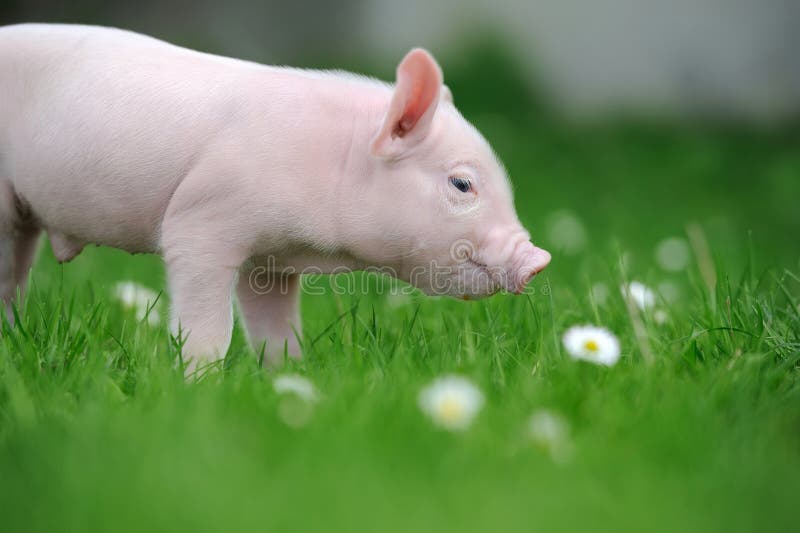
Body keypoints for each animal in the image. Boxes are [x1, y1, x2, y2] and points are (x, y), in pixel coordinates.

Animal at [0, 23, 551, 370]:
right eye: (462, 184)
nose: (539, 259)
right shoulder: (200, 220)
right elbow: (209, 329)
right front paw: (197, 387)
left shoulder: (271, 262)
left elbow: (277, 331)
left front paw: (288, 381)